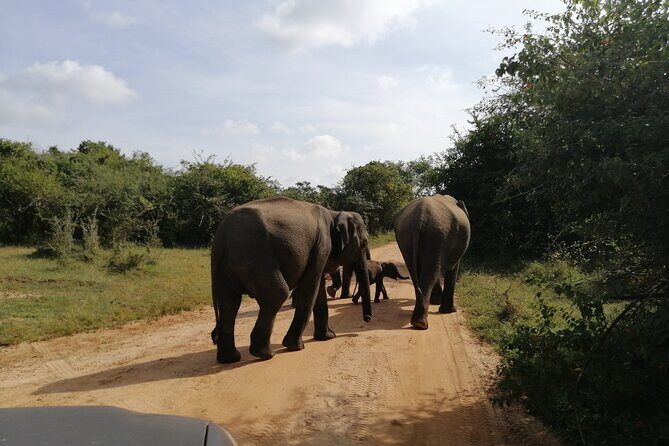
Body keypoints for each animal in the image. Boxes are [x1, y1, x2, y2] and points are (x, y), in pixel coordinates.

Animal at [210, 196, 373, 363]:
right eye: (365, 243)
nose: (367, 319)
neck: (333, 213)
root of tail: (221, 234)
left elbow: (318, 288)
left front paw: (328, 337)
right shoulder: (322, 245)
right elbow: (310, 287)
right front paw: (296, 347)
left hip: (228, 266)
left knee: (229, 304)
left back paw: (230, 358)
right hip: (255, 255)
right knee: (277, 294)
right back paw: (265, 354)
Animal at [393, 195, 470, 330]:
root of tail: (418, 219)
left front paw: (436, 302)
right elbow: (453, 269)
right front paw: (449, 310)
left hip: (406, 237)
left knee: (416, 273)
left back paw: (418, 320)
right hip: (437, 235)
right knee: (430, 275)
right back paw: (421, 324)